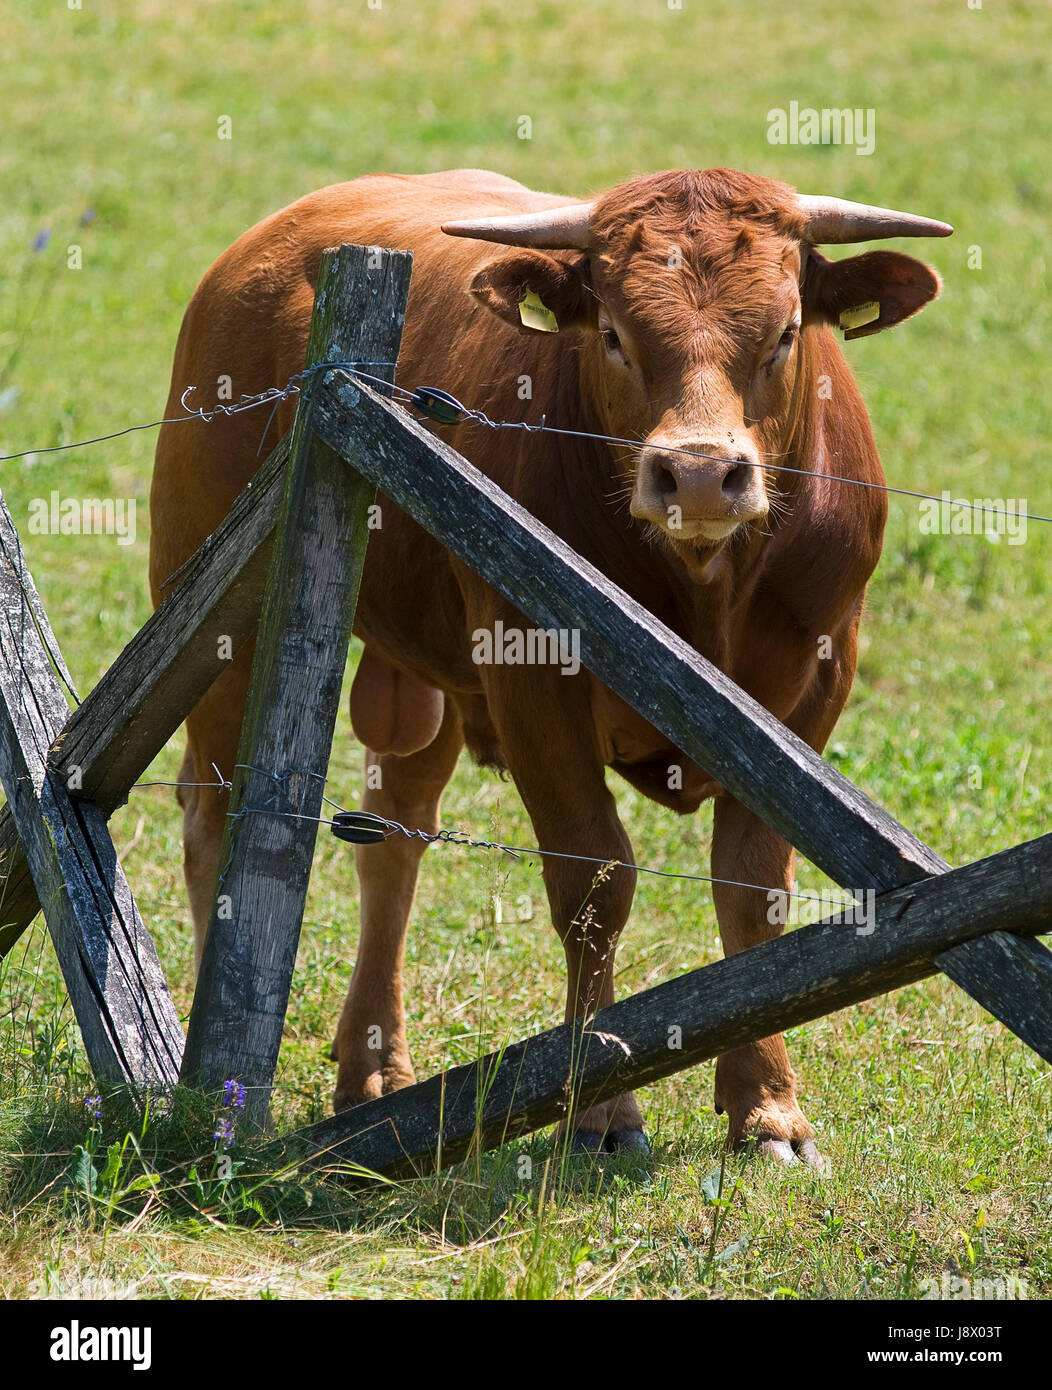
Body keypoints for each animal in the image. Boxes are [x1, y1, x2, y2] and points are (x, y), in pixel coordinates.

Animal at [149, 167, 951, 1165]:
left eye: (786, 330)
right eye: (611, 333)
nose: (698, 475)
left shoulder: (814, 685)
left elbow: (753, 890)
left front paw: (768, 1108)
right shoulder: (532, 682)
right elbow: (593, 882)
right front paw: (603, 1109)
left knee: (397, 836)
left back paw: (373, 1065)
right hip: (218, 613)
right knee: (212, 816)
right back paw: (203, 1069)